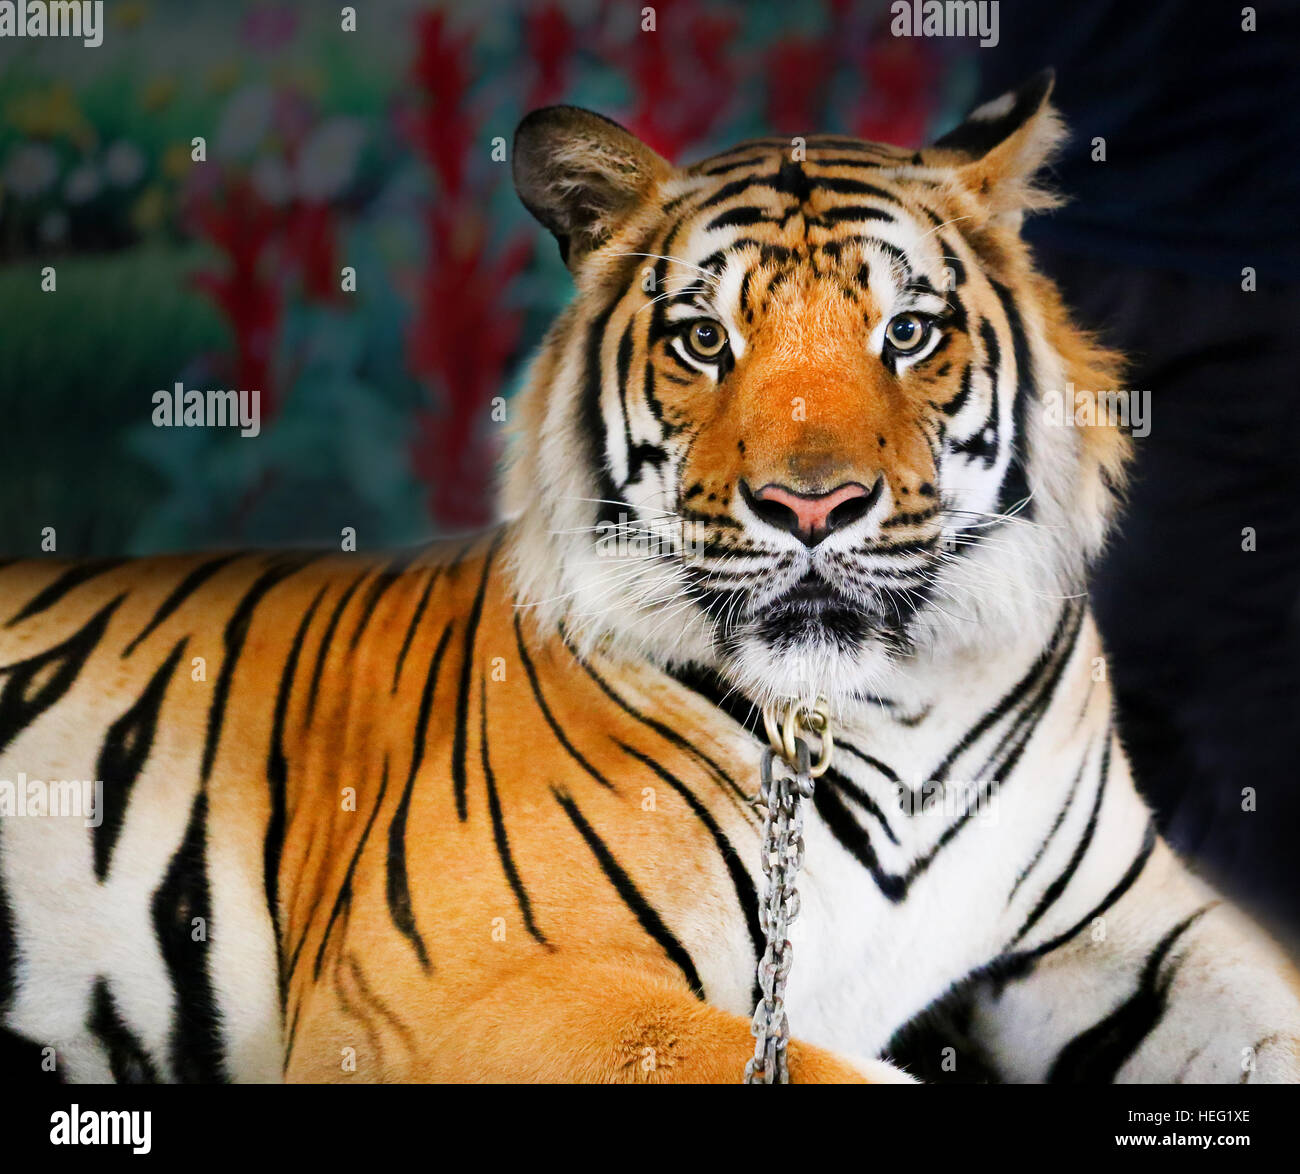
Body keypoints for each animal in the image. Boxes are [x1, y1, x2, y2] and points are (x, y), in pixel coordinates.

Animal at [1, 70, 1298, 1085]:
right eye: (703, 340)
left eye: (908, 334)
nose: (811, 506)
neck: (891, 713)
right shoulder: (472, 982)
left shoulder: (1127, 932)